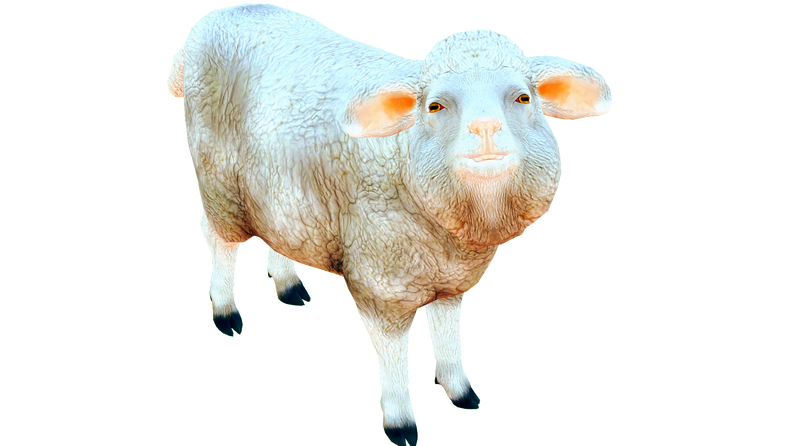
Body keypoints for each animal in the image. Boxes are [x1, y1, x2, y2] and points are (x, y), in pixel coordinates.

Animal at [165, 2, 613, 445]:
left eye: (523, 98)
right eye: (435, 106)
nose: (485, 128)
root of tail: (214, 17)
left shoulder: (448, 278)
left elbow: (447, 332)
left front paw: (459, 390)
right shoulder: (382, 281)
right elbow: (394, 352)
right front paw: (400, 422)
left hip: (281, 185)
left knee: (280, 230)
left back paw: (289, 286)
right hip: (219, 177)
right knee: (218, 239)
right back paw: (225, 312)